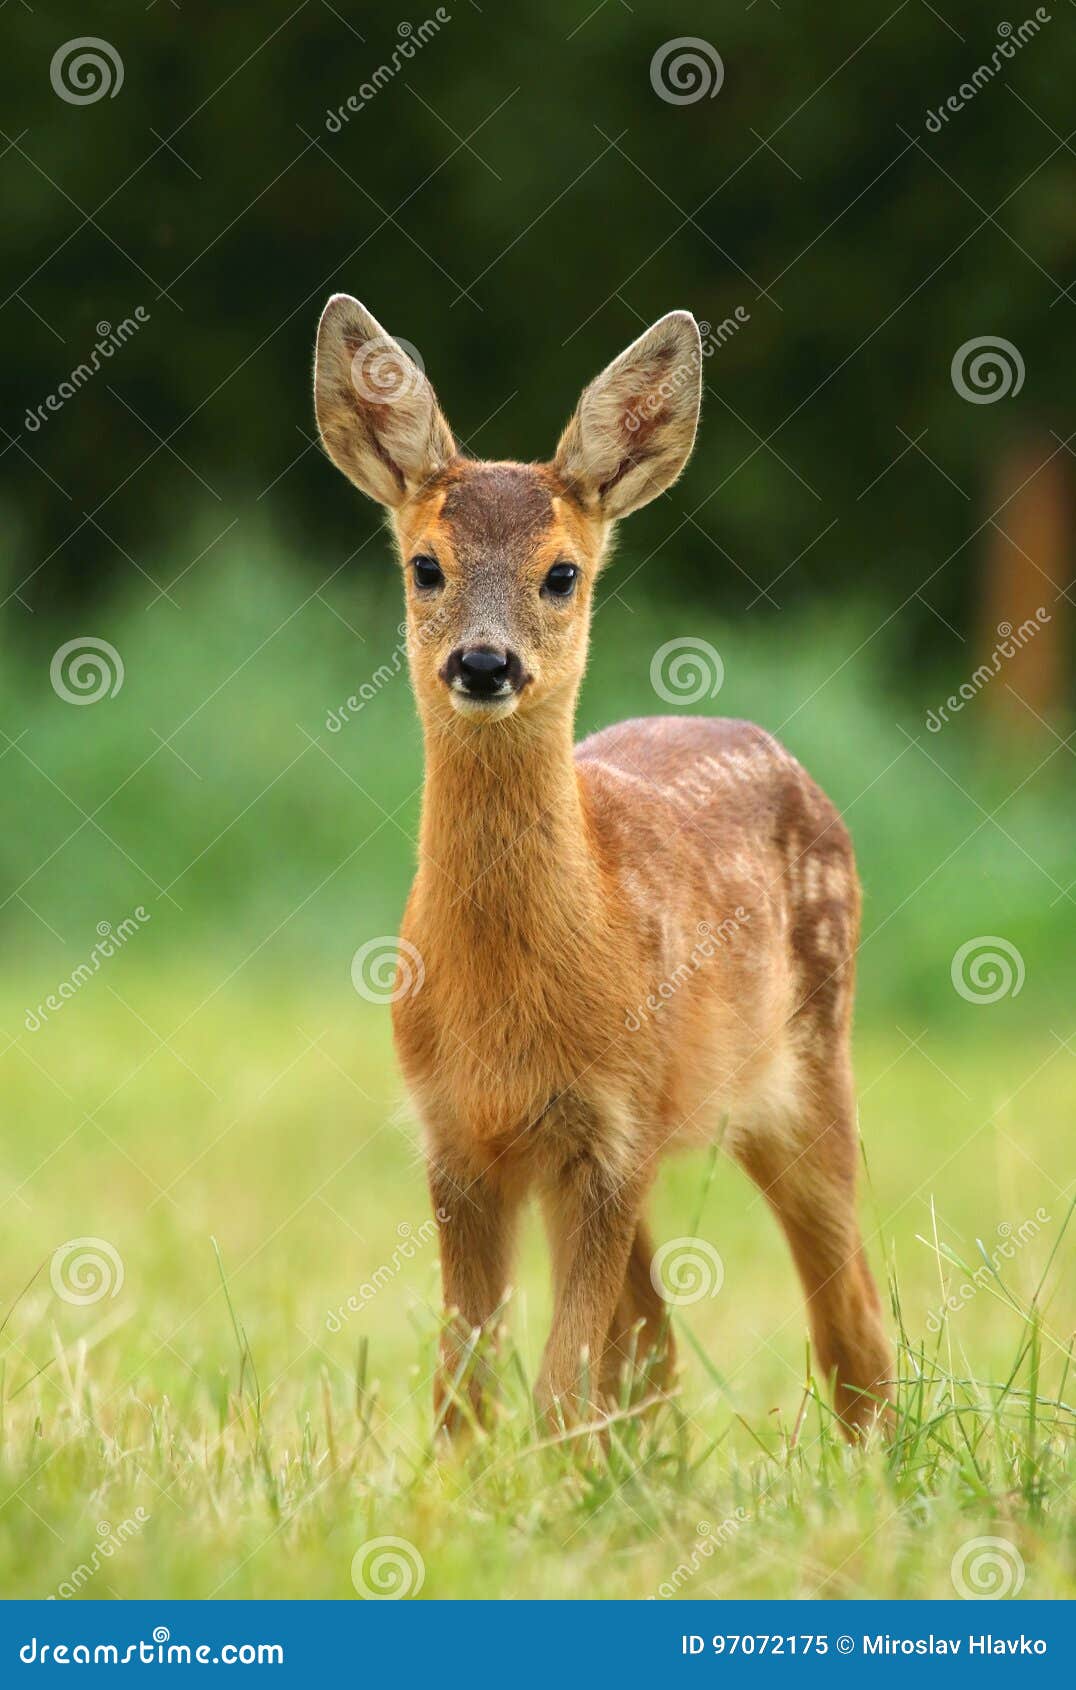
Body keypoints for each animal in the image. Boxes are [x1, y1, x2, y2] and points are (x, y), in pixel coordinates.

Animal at [313, 294, 893, 1440]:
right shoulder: (458, 1137)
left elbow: (558, 1381)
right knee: (658, 1347)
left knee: (850, 1320)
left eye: (562, 573)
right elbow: (466, 1383)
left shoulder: (613, 1128)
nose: (484, 663)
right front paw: (463, 1484)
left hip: (808, 1067)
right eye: (425, 566)